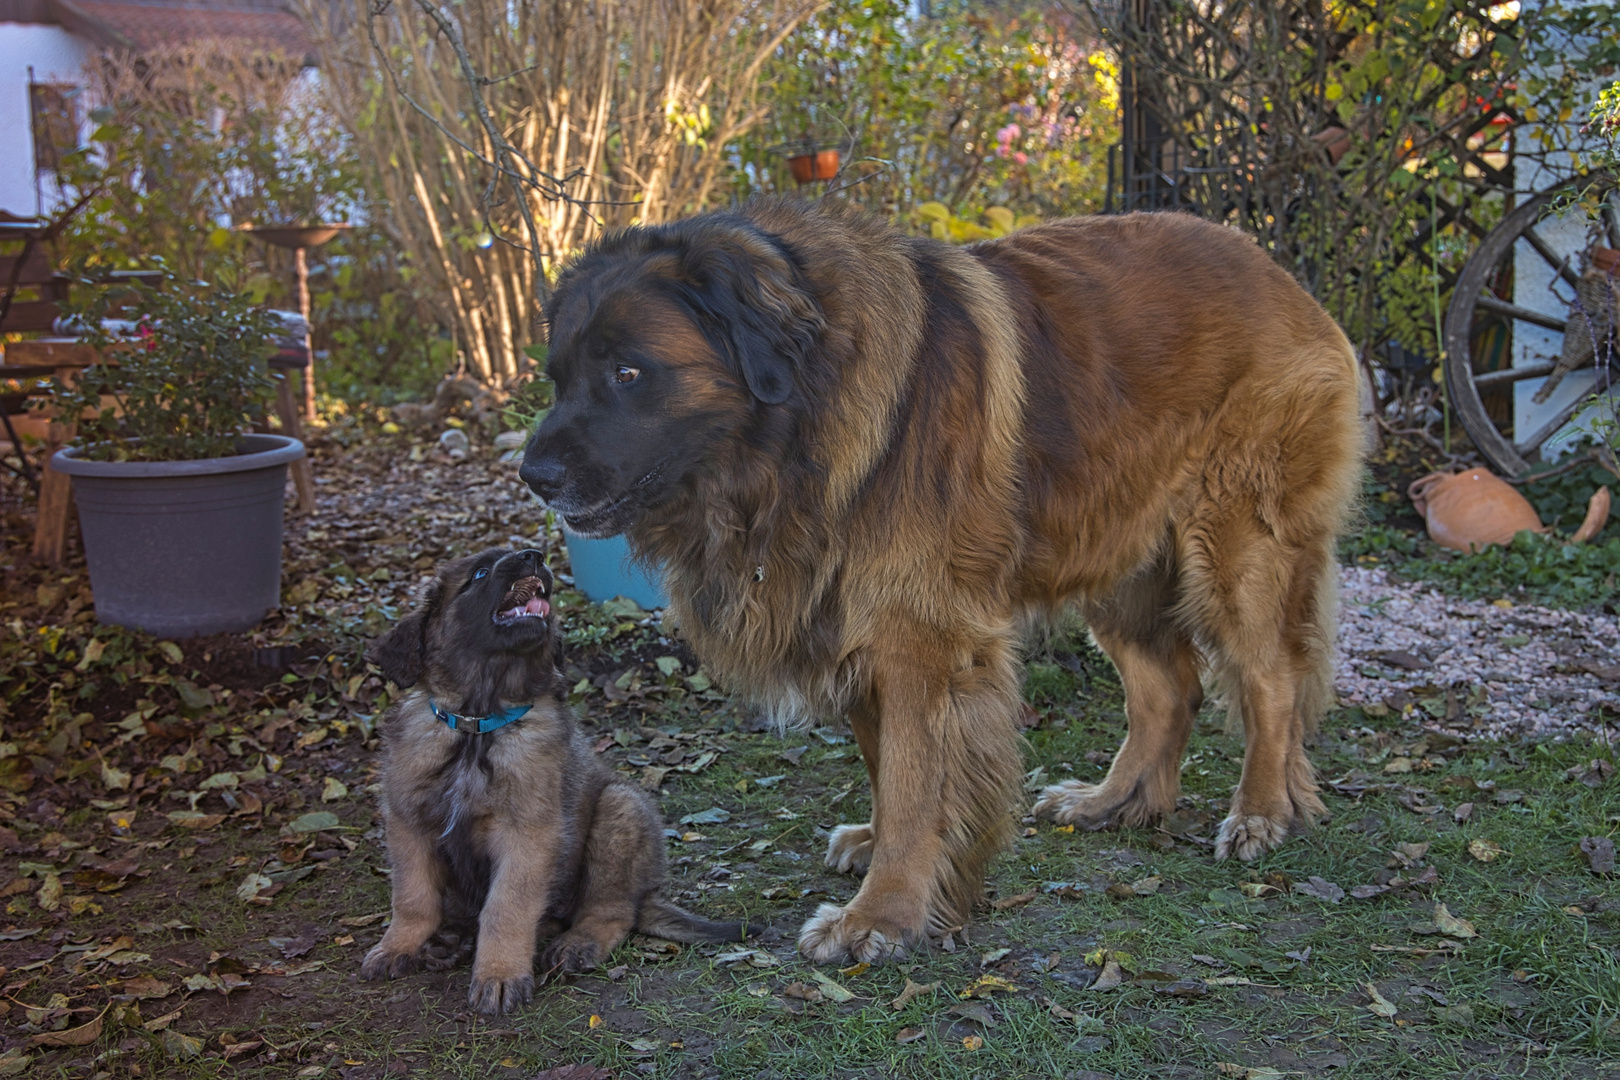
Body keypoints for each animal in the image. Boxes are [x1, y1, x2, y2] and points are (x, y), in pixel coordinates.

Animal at [361, 550, 745, 1016]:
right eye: (480, 573)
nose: (533, 556)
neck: (478, 724)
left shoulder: (527, 834)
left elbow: (506, 908)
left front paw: (500, 975)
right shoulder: (408, 821)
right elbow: (412, 897)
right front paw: (399, 946)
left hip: (621, 807)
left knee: (611, 911)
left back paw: (577, 943)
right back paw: (447, 942)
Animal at [521, 198, 1367, 965]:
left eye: (628, 372)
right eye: (557, 377)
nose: (534, 476)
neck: (793, 438)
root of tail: (1270, 267)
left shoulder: (917, 637)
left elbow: (909, 779)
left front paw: (882, 916)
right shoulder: (856, 624)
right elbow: (886, 766)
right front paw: (889, 859)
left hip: (1237, 547)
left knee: (1269, 682)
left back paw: (1261, 813)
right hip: (1114, 549)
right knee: (1168, 690)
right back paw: (1112, 802)